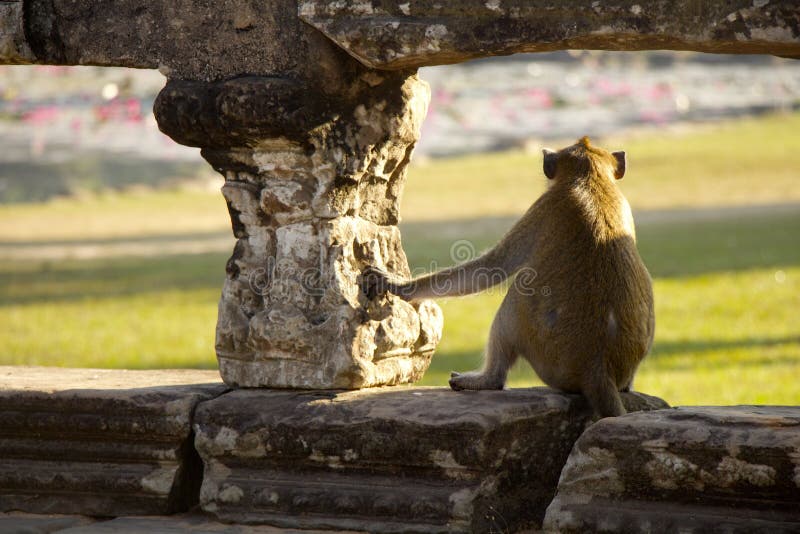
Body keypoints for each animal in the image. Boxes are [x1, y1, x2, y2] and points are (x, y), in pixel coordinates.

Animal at [362, 137, 654, 418]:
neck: (593, 180)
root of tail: (597, 369)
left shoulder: (544, 206)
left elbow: (493, 267)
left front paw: (400, 286)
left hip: (547, 354)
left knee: (514, 302)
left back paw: (487, 380)